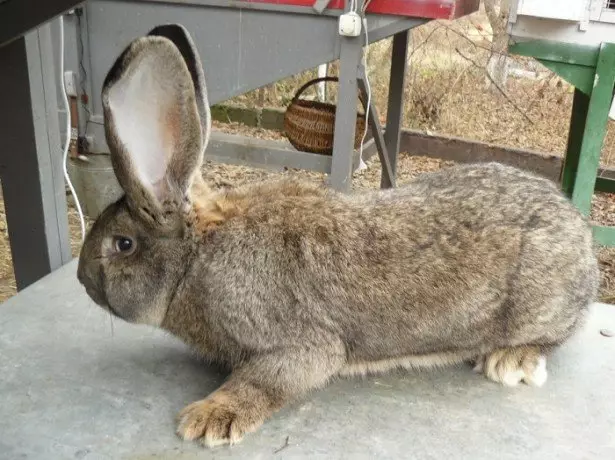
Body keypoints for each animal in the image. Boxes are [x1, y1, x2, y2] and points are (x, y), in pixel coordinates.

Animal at [78, 23, 600, 448]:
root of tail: (580, 234)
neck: (198, 255)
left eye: (123, 245)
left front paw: (207, 418)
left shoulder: (302, 345)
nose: (82, 278)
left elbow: (270, 380)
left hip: (538, 301)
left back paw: (510, 361)